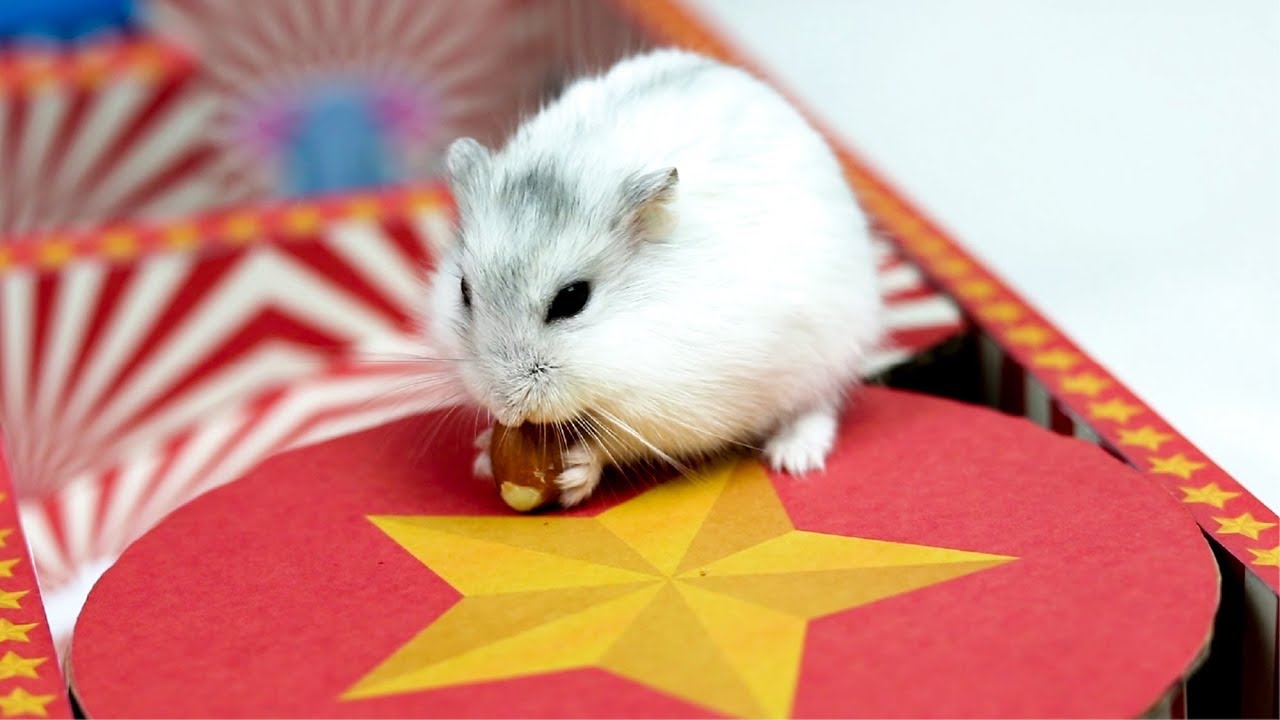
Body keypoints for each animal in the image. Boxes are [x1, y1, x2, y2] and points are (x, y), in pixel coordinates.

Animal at [424, 48, 885, 507]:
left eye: (573, 298)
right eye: (464, 291)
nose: (505, 409)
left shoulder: (676, 404)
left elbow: (619, 442)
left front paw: (576, 472)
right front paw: (483, 457)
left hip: (831, 350)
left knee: (819, 404)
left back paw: (793, 458)